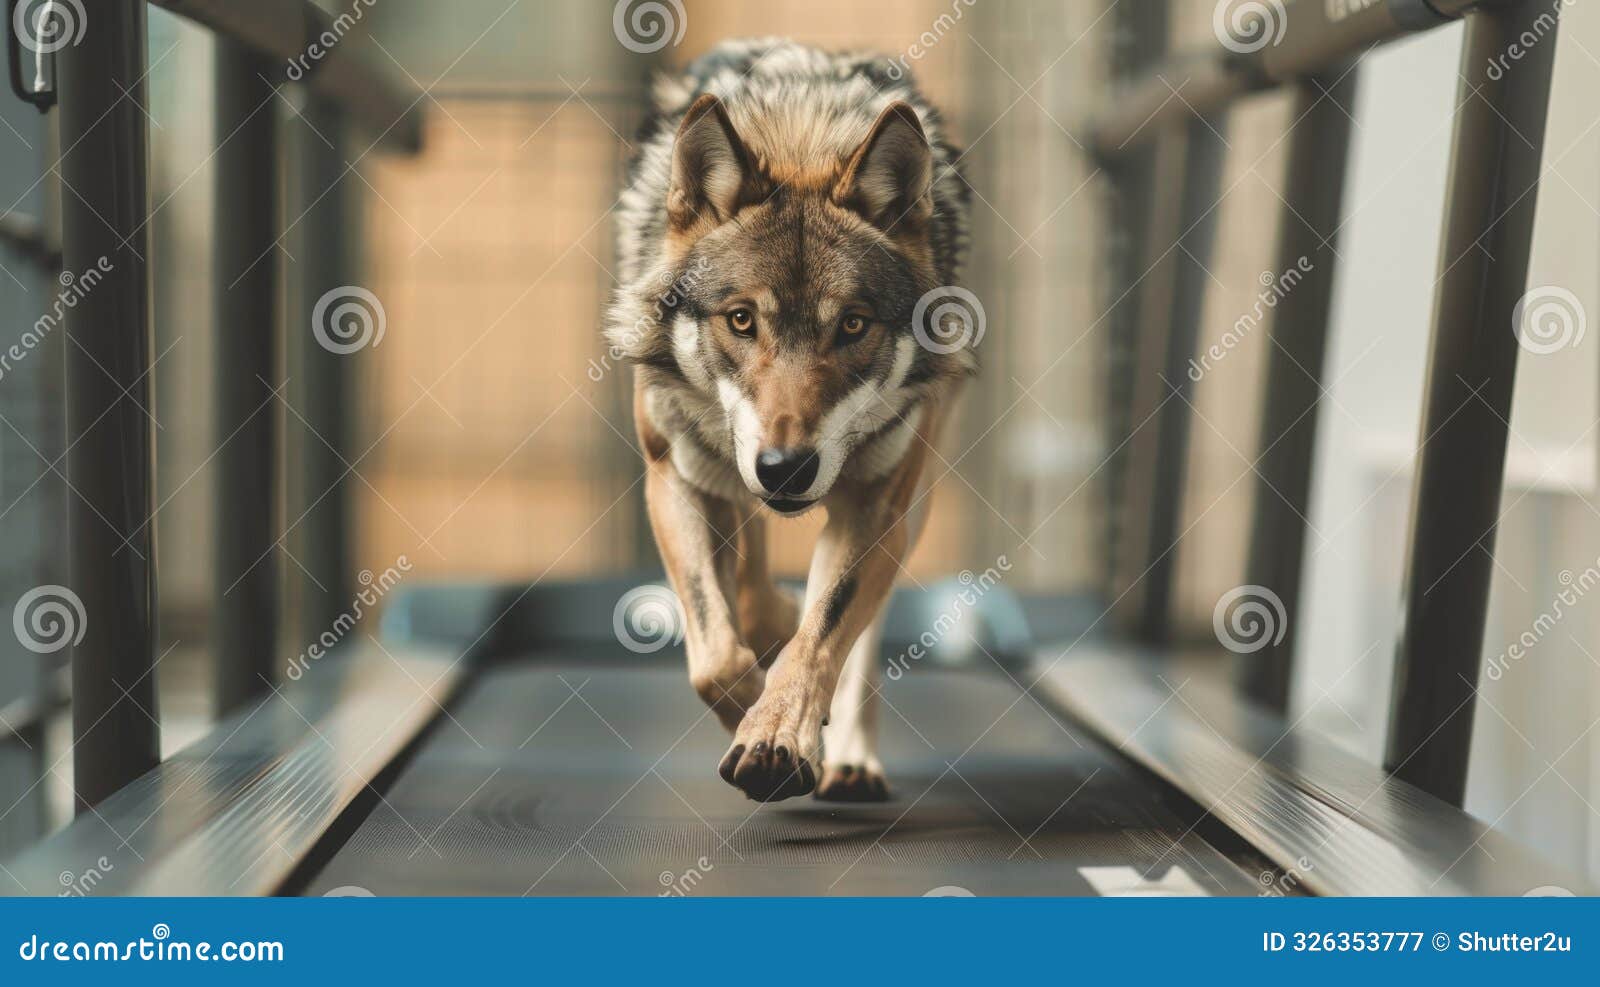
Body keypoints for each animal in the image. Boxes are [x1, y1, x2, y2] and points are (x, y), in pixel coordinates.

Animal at [606, 38, 974, 802]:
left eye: (853, 325)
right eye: (742, 320)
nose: (786, 468)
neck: (801, 134)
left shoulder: (875, 505)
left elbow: (822, 635)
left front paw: (780, 732)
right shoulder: (675, 478)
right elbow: (717, 656)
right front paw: (759, 705)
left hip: (914, 501)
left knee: (859, 638)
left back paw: (851, 759)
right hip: (725, 477)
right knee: (749, 578)